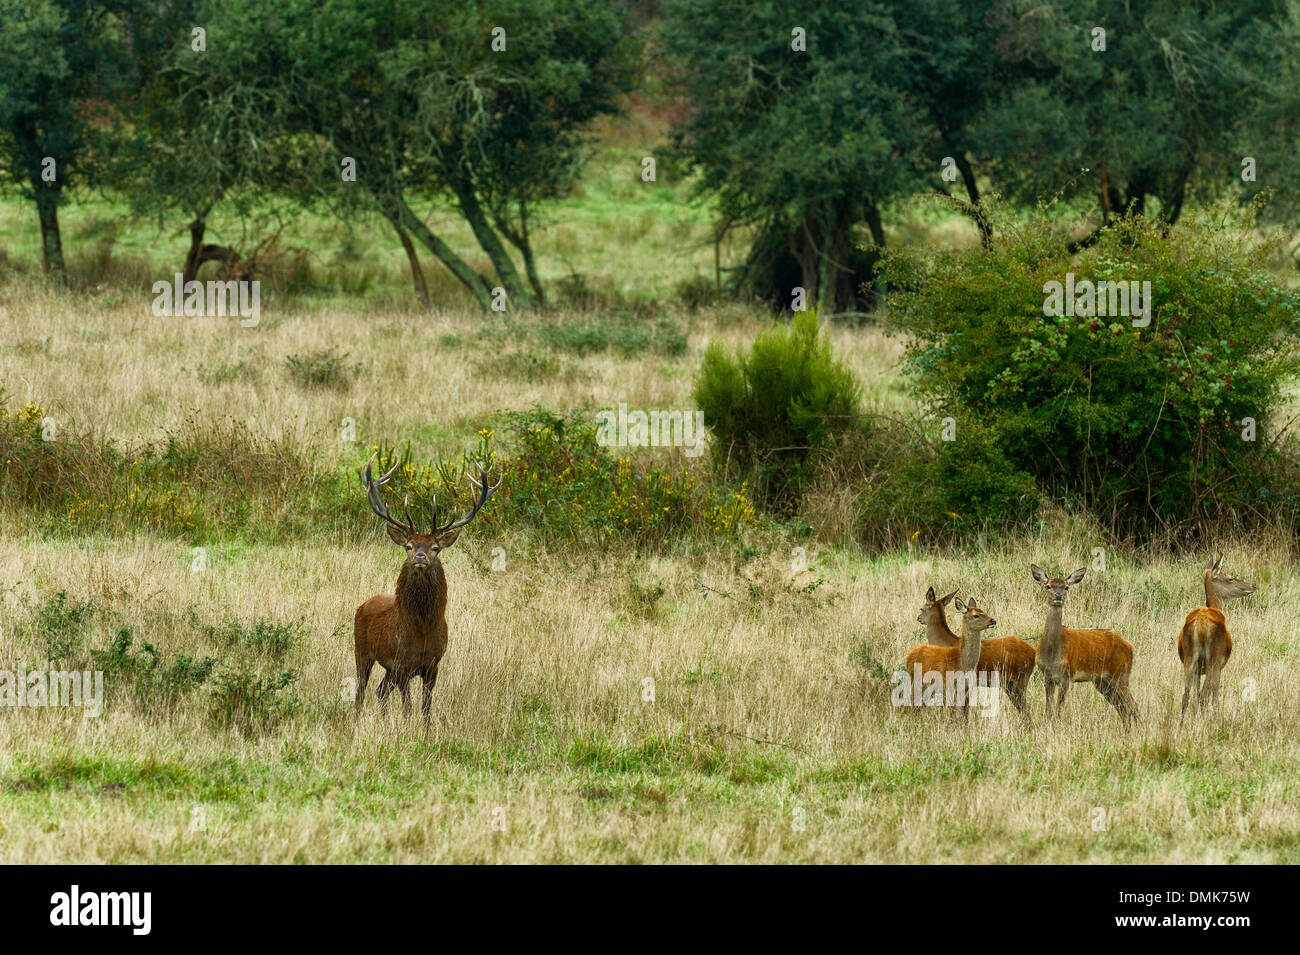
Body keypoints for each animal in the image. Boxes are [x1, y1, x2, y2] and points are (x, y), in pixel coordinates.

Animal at [354, 454, 500, 721]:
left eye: (435, 547)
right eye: (409, 546)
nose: (420, 557)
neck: (421, 631)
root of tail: (363, 605)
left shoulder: (433, 664)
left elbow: (426, 708)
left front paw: (425, 728)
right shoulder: (401, 662)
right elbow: (408, 707)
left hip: (387, 667)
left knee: (380, 691)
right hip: (361, 651)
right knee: (361, 691)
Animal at [1029, 565, 1138, 729]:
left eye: (1066, 587)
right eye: (1047, 586)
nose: (1058, 596)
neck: (1052, 655)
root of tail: (1130, 647)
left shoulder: (1067, 675)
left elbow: (1058, 710)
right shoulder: (1047, 676)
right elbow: (1048, 710)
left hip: (1121, 674)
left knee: (1133, 706)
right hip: (1103, 682)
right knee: (1122, 707)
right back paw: (1127, 731)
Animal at [1178, 555, 1254, 721]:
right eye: (1230, 578)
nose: (1253, 586)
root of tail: (1200, 626)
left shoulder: (1198, 670)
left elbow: (1195, 694)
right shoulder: (1220, 665)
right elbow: (1213, 694)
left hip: (1189, 658)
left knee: (1186, 695)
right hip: (1214, 657)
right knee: (1205, 695)